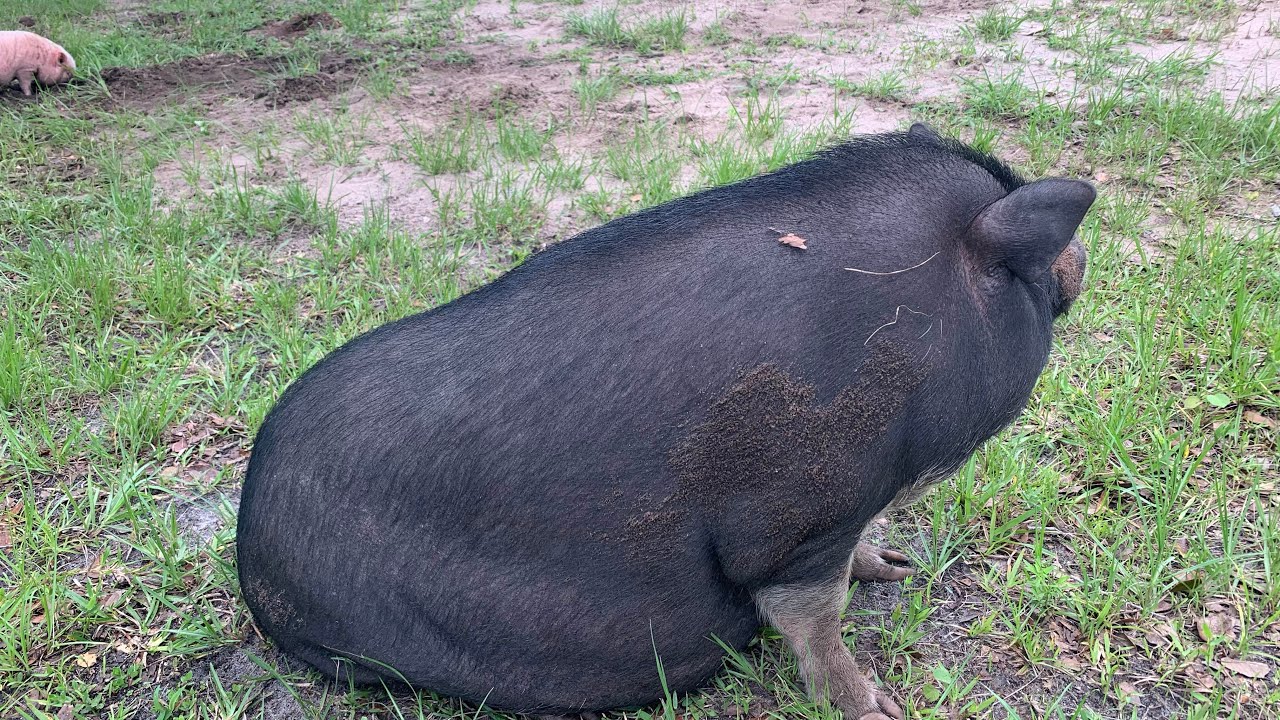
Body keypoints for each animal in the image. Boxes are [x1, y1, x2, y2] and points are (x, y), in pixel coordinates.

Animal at [236, 124, 1093, 719]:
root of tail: (248, 545)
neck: (917, 326)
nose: (1081, 259)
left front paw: (897, 567)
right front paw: (879, 706)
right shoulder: (794, 516)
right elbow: (812, 622)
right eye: (1030, 266)